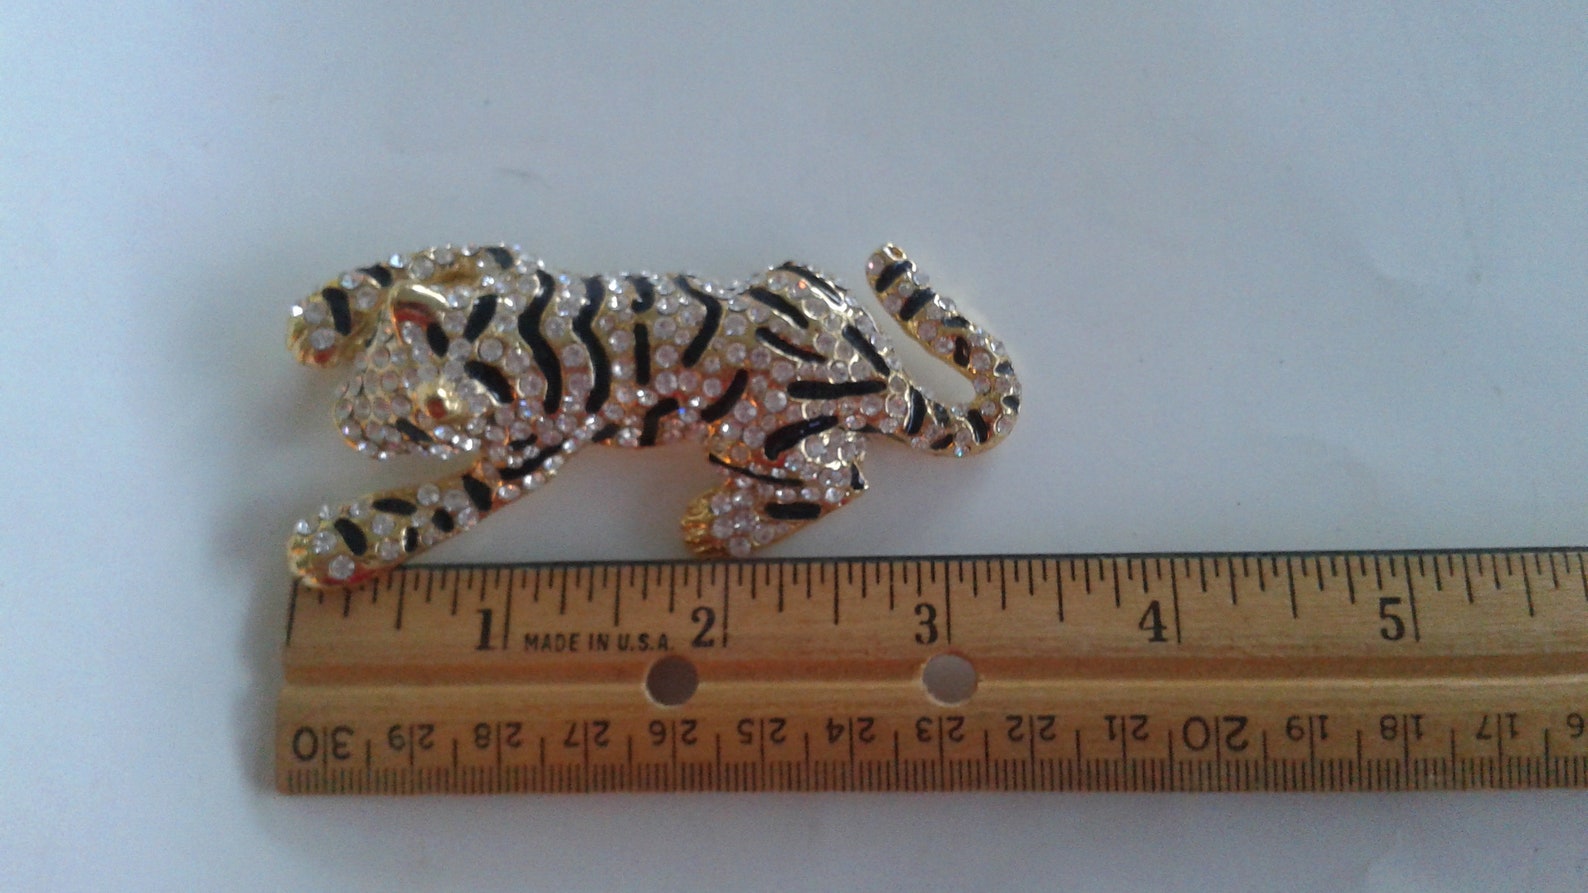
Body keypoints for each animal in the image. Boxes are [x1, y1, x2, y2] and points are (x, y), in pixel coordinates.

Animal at [288, 243, 1021, 587]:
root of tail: (883, 369)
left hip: (756, 434)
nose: (343, 424)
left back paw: (718, 525)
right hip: (797, 276)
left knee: (840, 481)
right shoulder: (510, 263)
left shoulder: (524, 459)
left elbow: (426, 509)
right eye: (366, 378)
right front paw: (324, 316)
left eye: (398, 426)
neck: (502, 332)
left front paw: (326, 547)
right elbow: (427, 256)